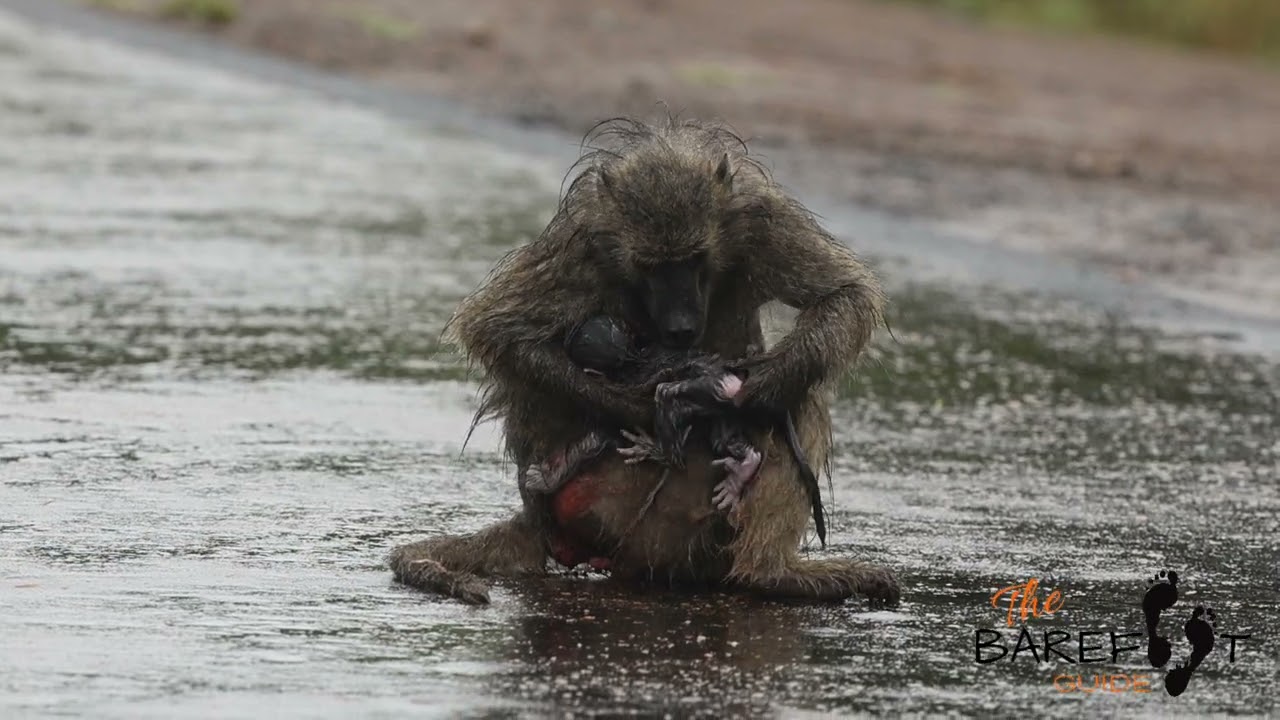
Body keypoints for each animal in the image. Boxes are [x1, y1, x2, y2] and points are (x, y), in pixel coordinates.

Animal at [389, 115, 898, 606]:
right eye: (652, 266)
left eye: (693, 259)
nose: (680, 327)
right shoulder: (579, 246)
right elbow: (498, 330)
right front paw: (643, 407)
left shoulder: (762, 221)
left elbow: (843, 294)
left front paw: (759, 386)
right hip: (616, 508)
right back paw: (765, 570)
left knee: (799, 392)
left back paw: (769, 562)